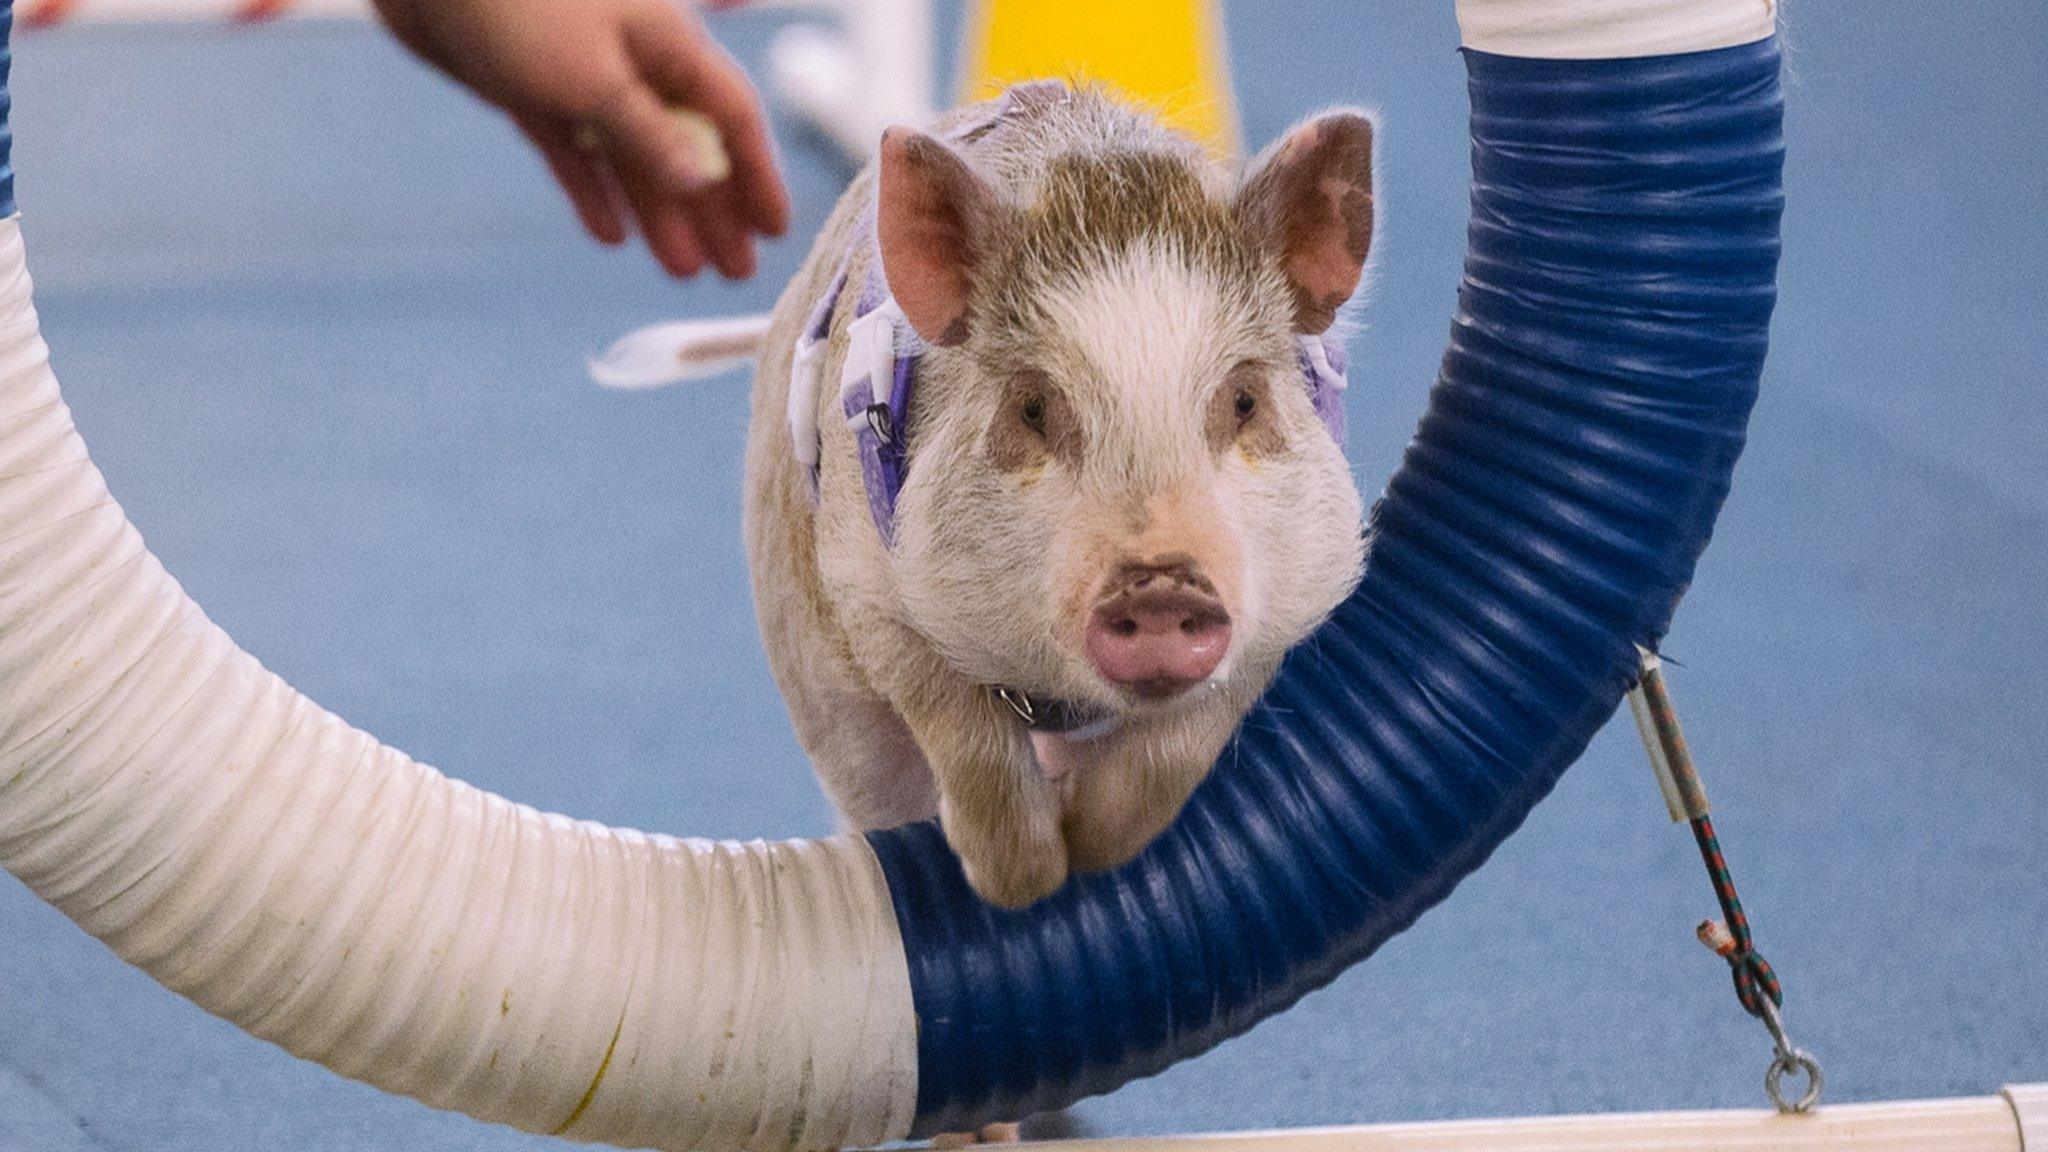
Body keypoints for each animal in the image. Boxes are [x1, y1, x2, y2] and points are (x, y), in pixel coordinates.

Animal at [744, 83, 1373, 910]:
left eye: (1243, 400)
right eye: (1034, 407)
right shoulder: (867, 583)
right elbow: (959, 726)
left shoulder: (1293, 594)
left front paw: (1094, 842)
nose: (1161, 582)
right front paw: (1025, 881)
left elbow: (1180, 744)